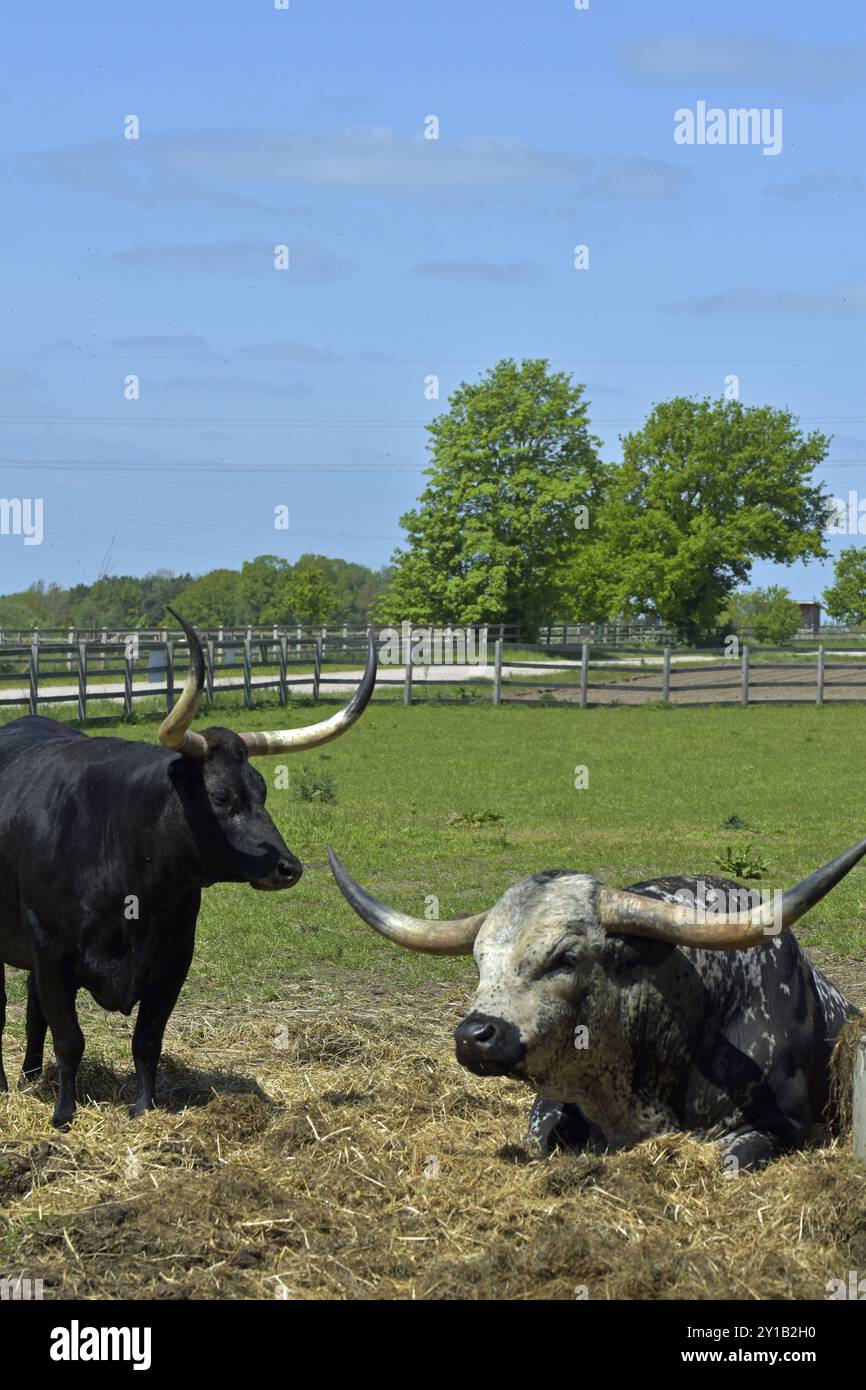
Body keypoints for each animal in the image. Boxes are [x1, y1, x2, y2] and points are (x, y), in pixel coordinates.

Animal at [0, 611, 376, 1128]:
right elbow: (71, 1039)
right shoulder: (50, 950)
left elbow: (146, 1041)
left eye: (263, 789)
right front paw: (63, 1117)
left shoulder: (174, 959)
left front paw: (143, 1109)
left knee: (34, 1011)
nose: (289, 867)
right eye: (221, 796)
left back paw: (31, 1076)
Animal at [327, 840, 865, 1170]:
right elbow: (541, 1139)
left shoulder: (786, 1127)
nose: (473, 1037)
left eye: (565, 958)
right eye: (479, 961)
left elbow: (728, 1159)